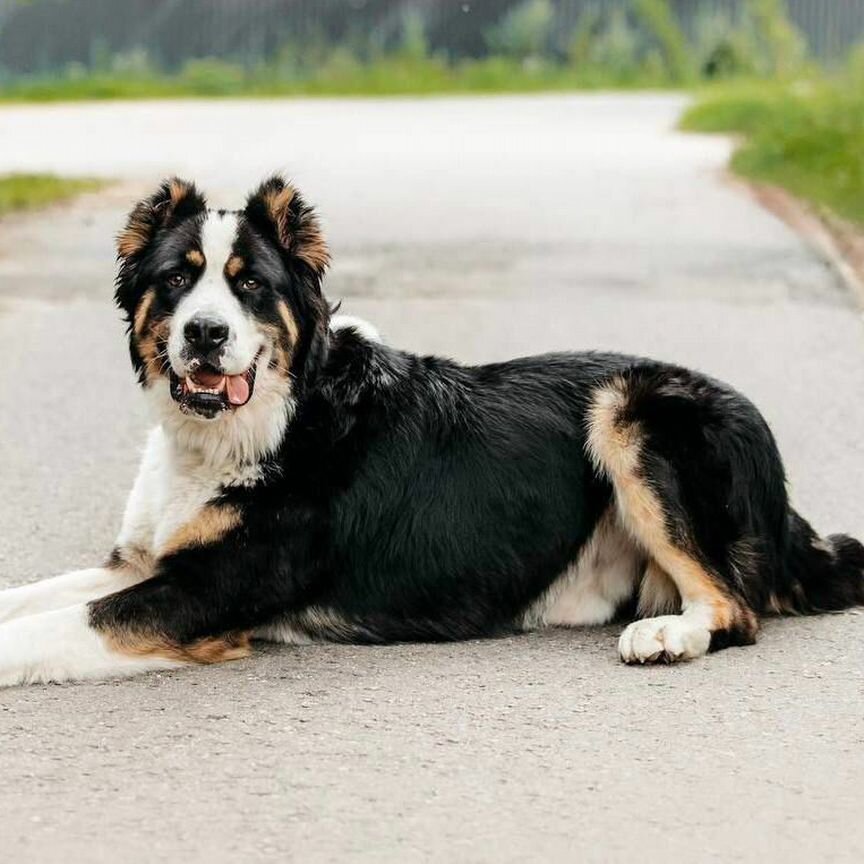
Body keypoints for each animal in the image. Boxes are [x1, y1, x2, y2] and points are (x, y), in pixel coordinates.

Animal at [1, 177, 864, 688]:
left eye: (250, 287)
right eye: (177, 279)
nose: (205, 334)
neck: (275, 419)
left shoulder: (205, 590)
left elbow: (51, 624)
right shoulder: (145, 564)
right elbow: (30, 598)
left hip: (630, 409)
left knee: (735, 608)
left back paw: (666, 638)